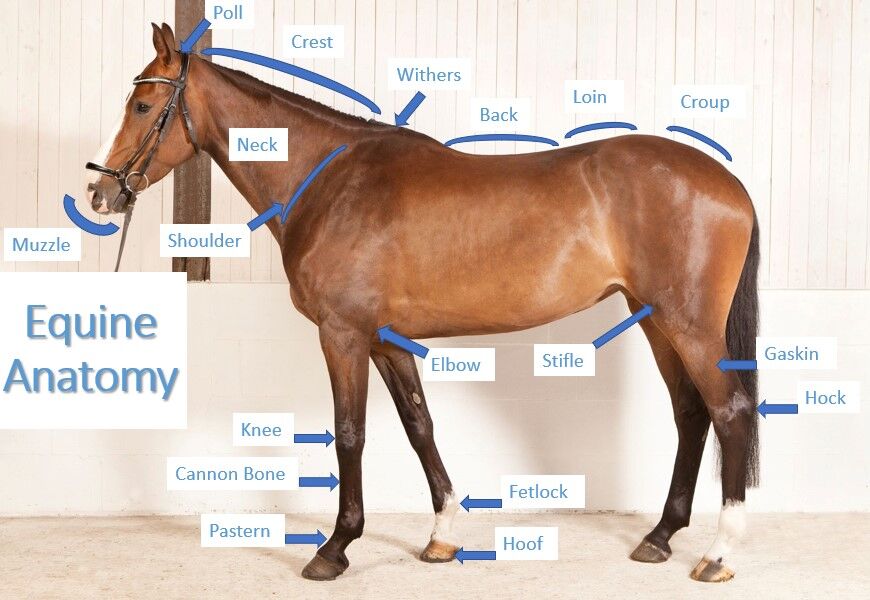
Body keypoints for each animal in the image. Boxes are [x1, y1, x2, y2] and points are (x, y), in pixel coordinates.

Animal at [86, 24, 760, 583]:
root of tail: (729, 185)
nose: (100, 192)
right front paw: (442, 535)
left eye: (142, 106)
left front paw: (335, 548)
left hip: (688, 325)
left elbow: (349, 433)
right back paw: (661, 535)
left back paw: (717, 553)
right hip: (655, 322)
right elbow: (419, 426)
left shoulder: (343, 334)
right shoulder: (386, 340)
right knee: (691, 414)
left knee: (729, 412)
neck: (330, 181)